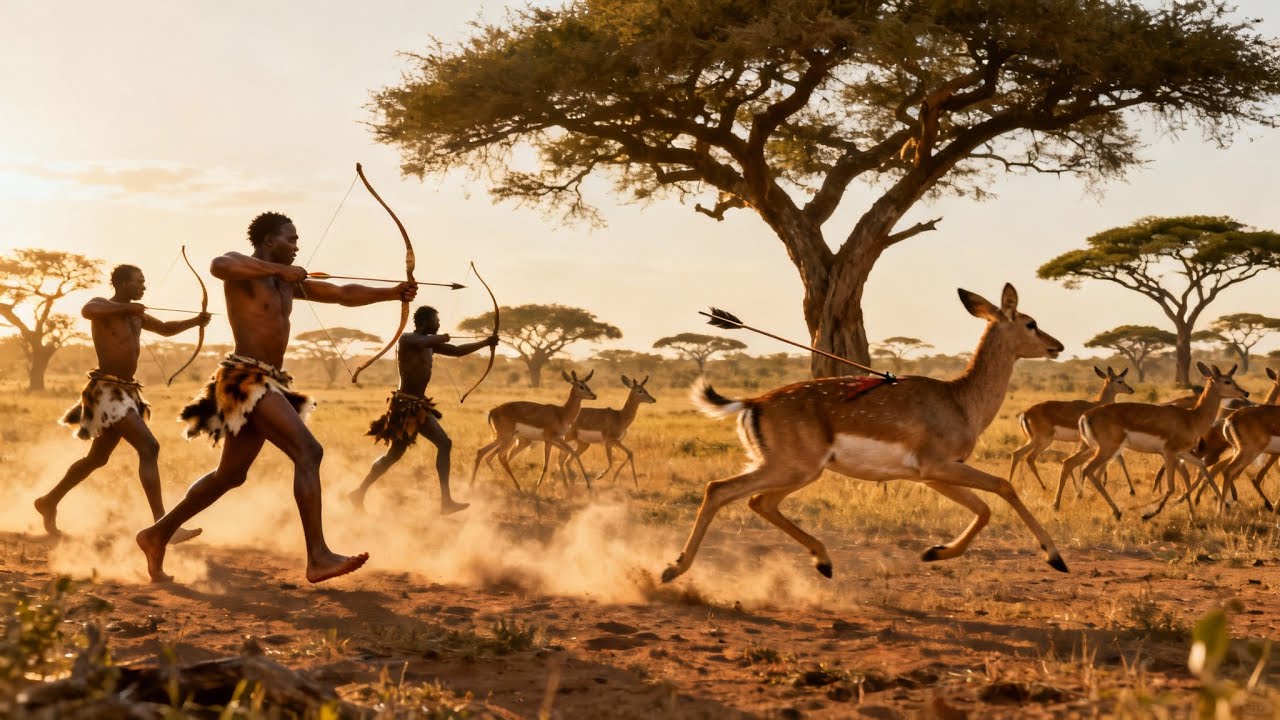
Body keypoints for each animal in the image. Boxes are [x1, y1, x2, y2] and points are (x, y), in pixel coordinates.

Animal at [660, 283, 1068, 584]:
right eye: (1030, 322)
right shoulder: (939, 467)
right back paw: (672, 569)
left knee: (757, 501)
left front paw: (934, 552)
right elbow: (1004, 487)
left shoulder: (933, 475)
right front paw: (1055, 557)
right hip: (795, 469)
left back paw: (823, 563)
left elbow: (984, 508)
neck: (960, 399)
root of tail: (753, 401)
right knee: (721, 490)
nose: (1057, 345)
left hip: (794, 471)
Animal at [1057, 362, 1248, 521]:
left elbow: (1202, 470)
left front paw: (1208, 511)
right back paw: (1116, 511)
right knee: (1087, 470)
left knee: (1079, 467)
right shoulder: (1170, 453)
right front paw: (1149, 514)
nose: (1245, 393)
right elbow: (1171, 487)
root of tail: (1086, 416)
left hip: (1097, 449)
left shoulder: (1182, 453)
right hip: (1106, 450)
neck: (1192, 418)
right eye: (1227, 381)